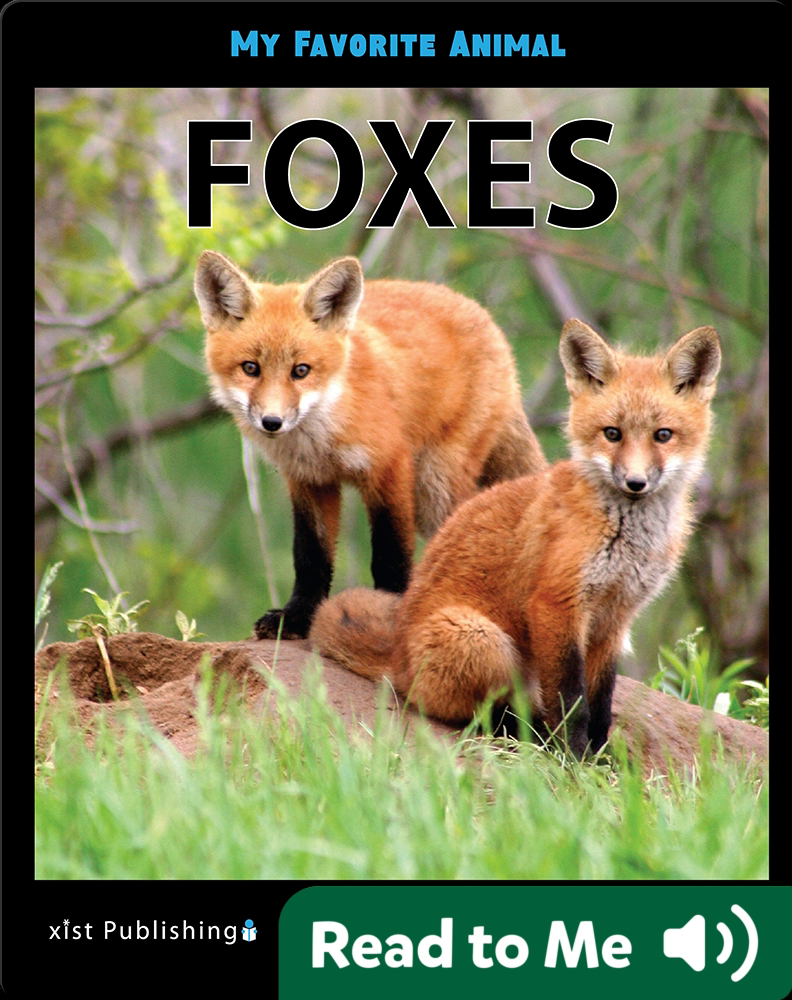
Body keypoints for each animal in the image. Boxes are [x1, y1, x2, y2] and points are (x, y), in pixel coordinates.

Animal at [194, 250, 546, 640]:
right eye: (250, 368)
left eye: (301, 371)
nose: (272, 422)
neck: (322, 435)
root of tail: (485, 318)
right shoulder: (308, 480)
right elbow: (310, 557)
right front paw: (297, 617)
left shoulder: (389, 467)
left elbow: (390, 554)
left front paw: (387, 611)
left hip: (434, 486)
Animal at [309, 318, 722, 757]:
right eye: (612, 434)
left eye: (663, 435)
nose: (636, 482)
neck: (627, 539)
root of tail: (395, 657)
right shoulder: (556, 604)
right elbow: (572, 702)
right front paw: (576, 758)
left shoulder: (615, 619)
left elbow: (601, 700)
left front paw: (600, 756)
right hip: (482, 640)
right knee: (476, 712)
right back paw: (530, 734)